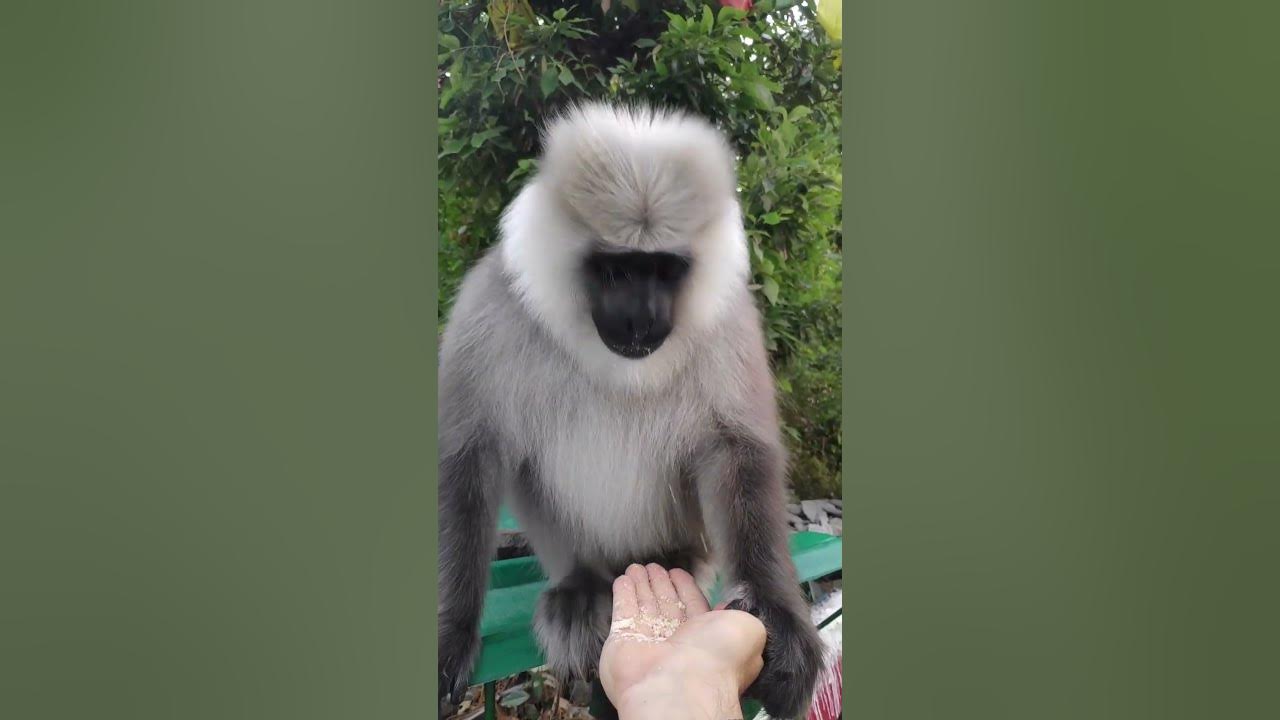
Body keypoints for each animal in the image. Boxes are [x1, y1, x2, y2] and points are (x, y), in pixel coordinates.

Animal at [438, 102, 825, 719]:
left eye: (664, 269)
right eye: (617, 270)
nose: (642, 320)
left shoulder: (728, 317)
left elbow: (736, 449)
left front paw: (779, 618)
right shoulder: (493, 306)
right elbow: (469, 455)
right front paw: (451, 629)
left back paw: (670, 558)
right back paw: (580, 585)